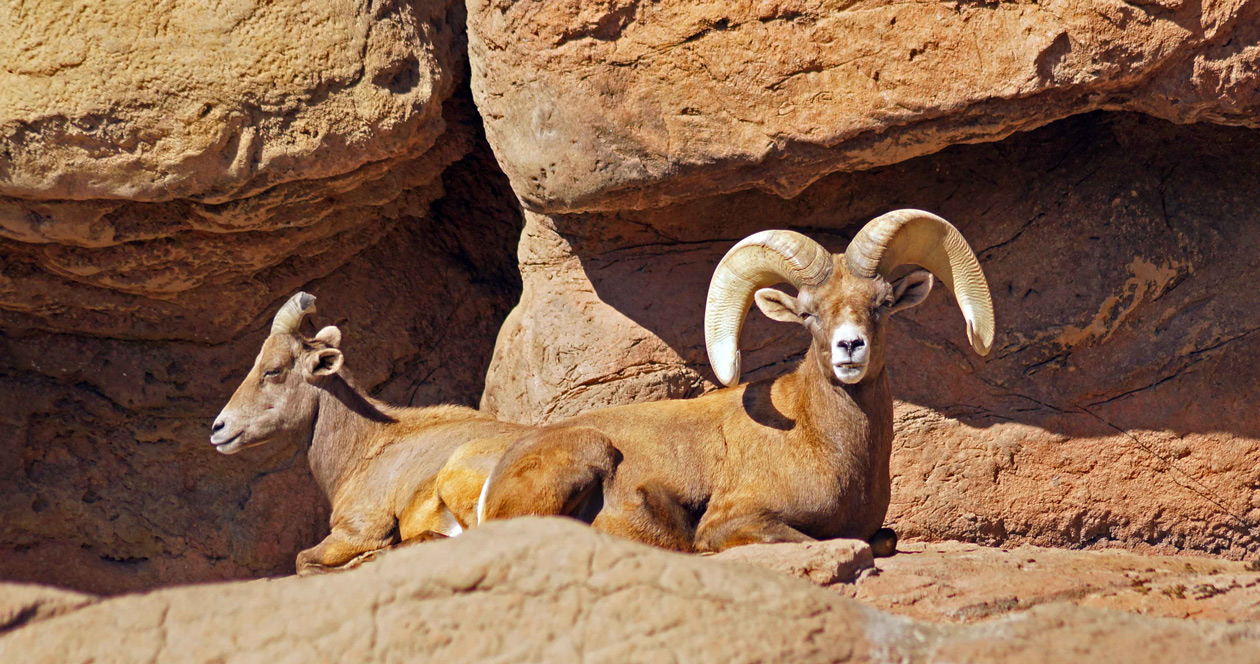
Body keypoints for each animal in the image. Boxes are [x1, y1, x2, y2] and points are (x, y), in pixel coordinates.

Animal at [479, 209, 995, 555]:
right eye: (808, 313)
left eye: (883, 303)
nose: (850, 347)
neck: (826, 445)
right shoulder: (737, 521)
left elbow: (882, 540)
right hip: (588, 450)